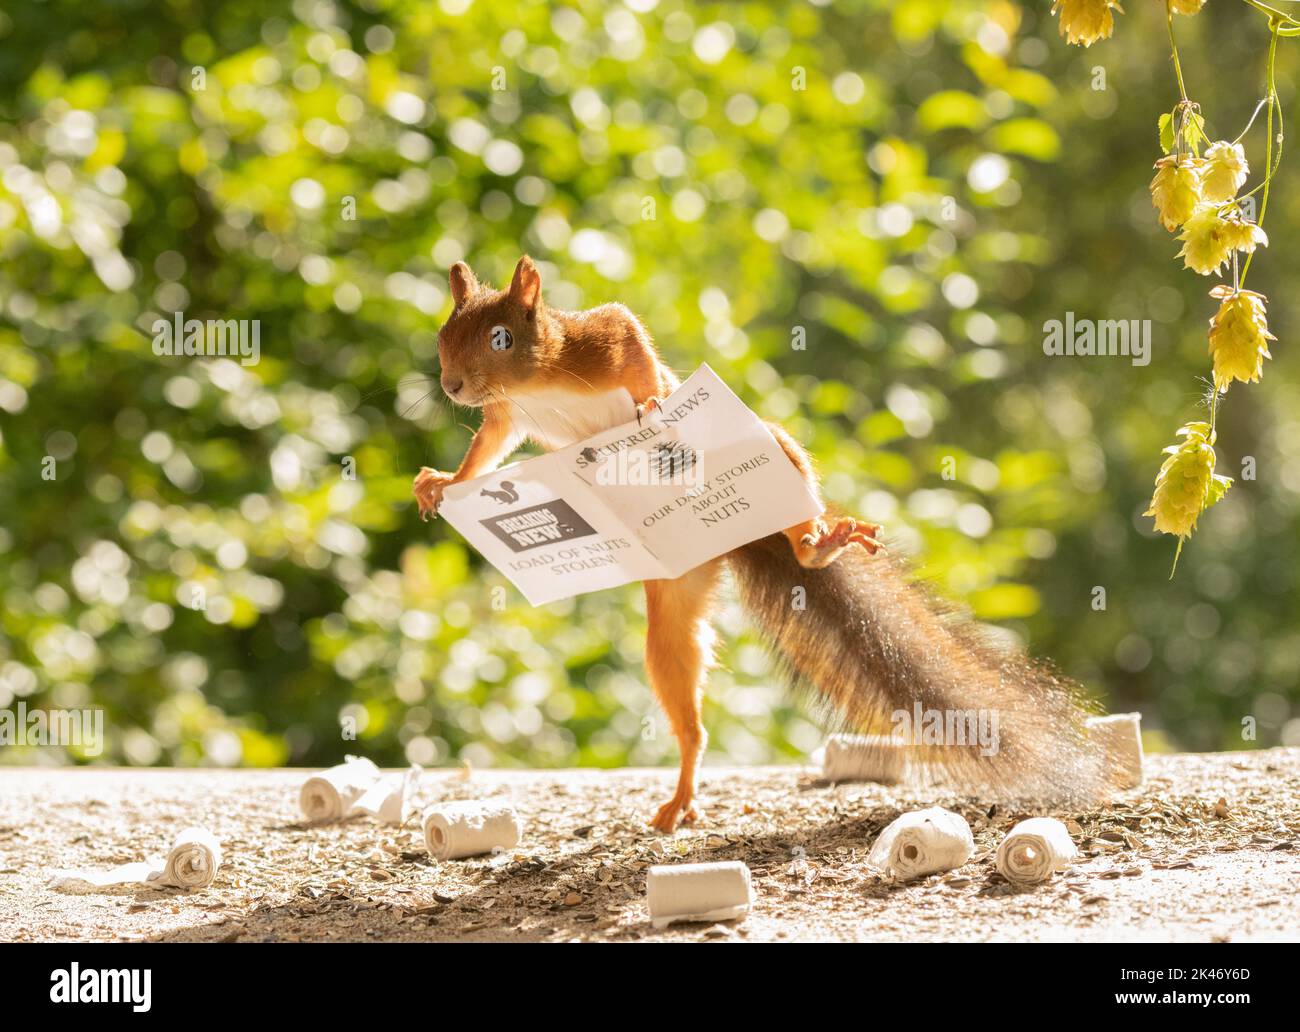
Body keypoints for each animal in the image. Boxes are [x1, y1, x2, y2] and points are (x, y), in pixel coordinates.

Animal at [415, 255, 1112, 832]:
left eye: (501, 338)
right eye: (442, 336)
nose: (450, 386)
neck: (536, 384)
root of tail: (743, 540)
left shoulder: (601, 340)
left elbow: (632, 340)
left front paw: (656, 401)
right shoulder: (508, 416)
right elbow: (485, 452)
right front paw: (443, 483)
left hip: (770, 448)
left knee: (793, 505)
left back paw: (815, 545)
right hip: (676, 602)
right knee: (687, 704)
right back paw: (681, 796)